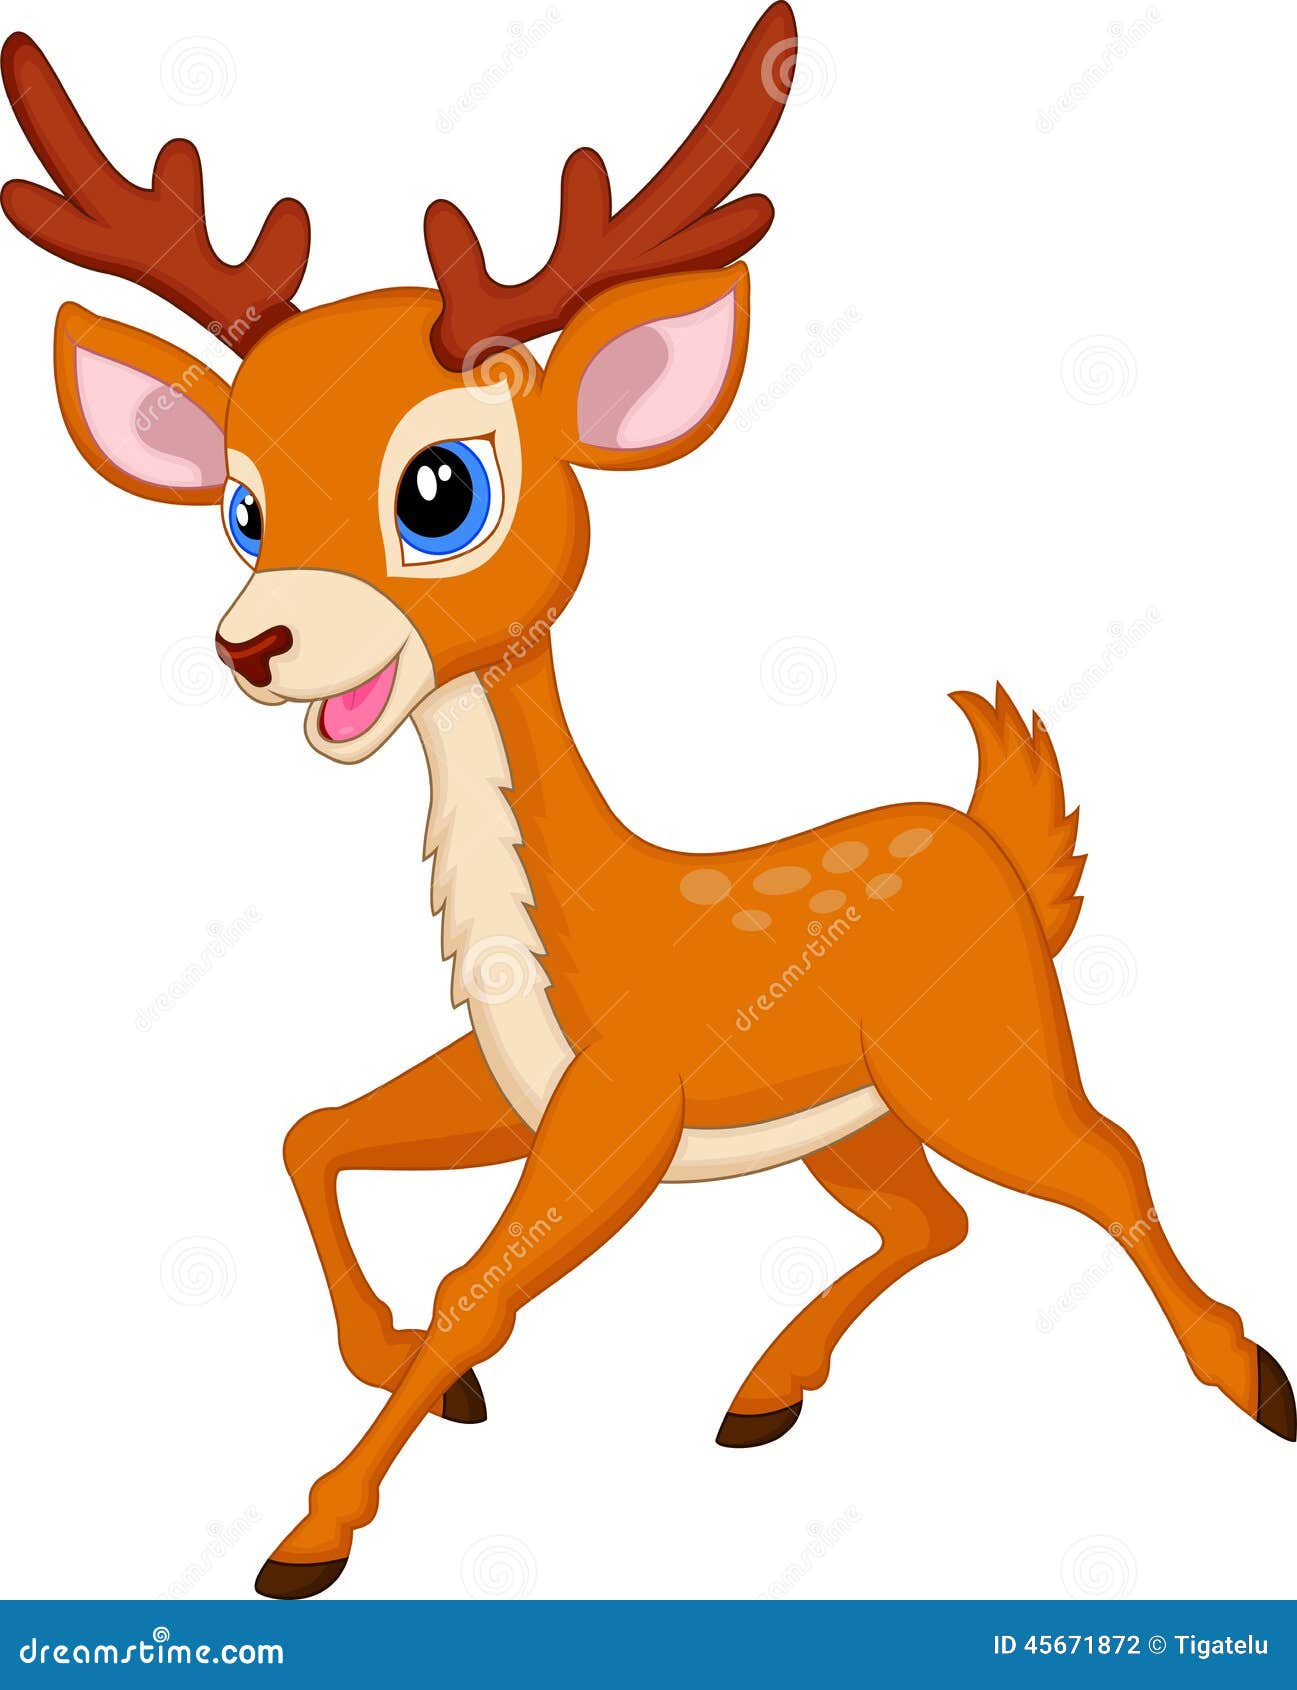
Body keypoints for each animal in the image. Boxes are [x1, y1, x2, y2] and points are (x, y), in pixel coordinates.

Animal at [4, 4, 1291, 1602]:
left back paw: (1249, 1379)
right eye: (241, 505)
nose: (255, 642)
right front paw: (397, 1371)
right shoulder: (513, 1083)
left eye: (439, 487)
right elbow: (313, 1130)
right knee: (936, 1215)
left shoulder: (620, 1111)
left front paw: (312, 1532)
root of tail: (990, 837)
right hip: (854, 1114)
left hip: (980, 1055)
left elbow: (476, 1284)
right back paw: (763, 1390)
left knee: (1104, 1156)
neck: (579, 929)